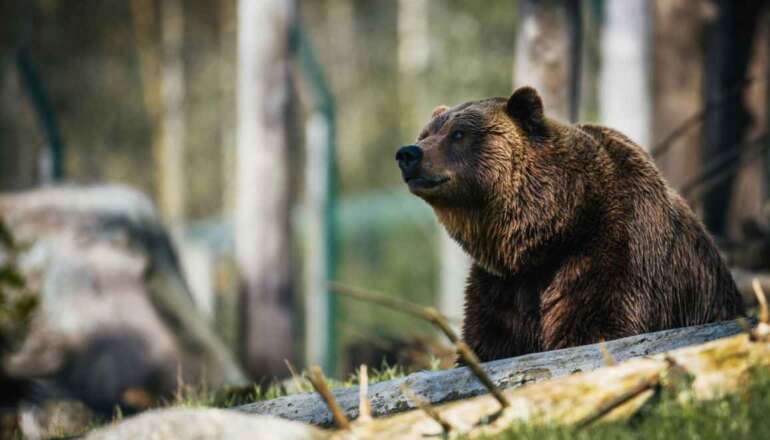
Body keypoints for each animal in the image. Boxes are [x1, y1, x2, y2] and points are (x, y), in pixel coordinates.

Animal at [395, 86, 745, 362]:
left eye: (458, 134)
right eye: (425, 134)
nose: (408, 153)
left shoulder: (613, 250)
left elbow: (597, 325)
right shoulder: (502, 285)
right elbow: (490, 341)